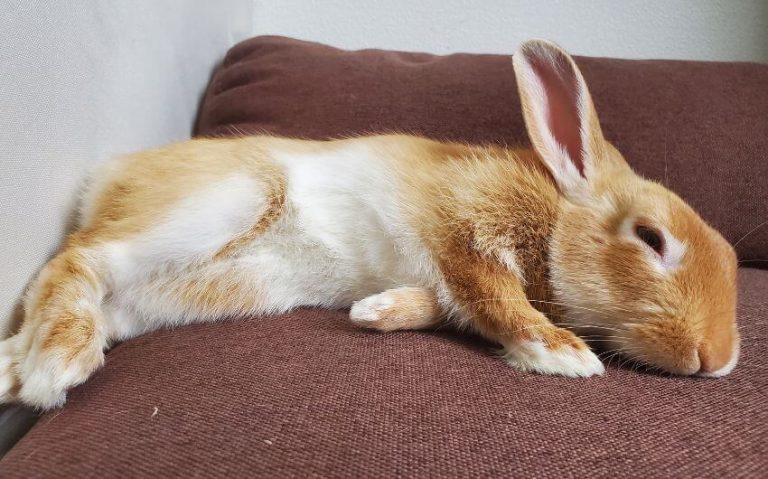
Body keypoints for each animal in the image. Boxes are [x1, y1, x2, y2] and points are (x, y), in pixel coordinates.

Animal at [0, 39, 739, 410]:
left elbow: (445, 306)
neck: (554, 217)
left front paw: (373, 312)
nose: (718, 359)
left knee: (96, 298)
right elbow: (493, 296)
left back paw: (18, 369)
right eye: (651, 239)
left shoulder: (445, 281)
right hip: (223, 203)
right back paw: (54, 368)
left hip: (200, 289)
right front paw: (564, 354)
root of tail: (105, 182)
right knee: (79, 259)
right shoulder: (461, 230)